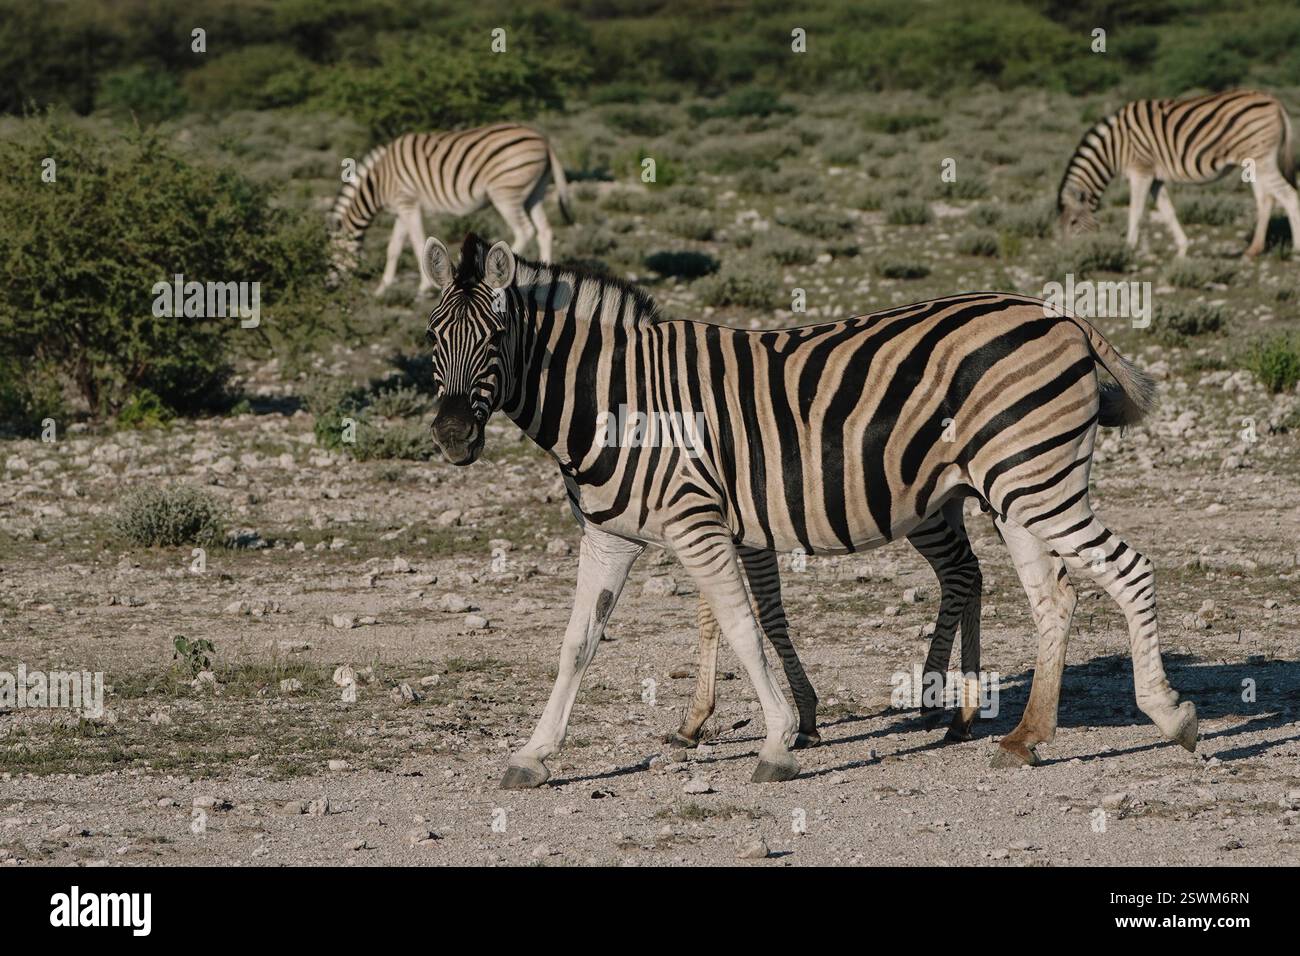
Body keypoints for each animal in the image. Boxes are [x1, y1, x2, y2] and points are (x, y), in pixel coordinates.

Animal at [328, 123, 571, 297]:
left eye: (331, 256)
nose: (329, 287)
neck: (379, 182)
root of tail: (544, 140)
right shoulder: (401, 211)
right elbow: (394, 248)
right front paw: (382, 288)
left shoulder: (408, 204)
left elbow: (418, 244)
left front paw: (423, 287)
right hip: (534, 194)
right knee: (545, 231)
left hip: (505, 194)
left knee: (524, 231)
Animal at [670, 501, 984, 751]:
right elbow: (713, 613)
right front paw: (695, 719)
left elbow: (759, 609)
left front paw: (806, 717)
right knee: (972, 569)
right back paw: (964, 713)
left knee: (959, 568)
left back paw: (937, 701)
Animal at [1058, 89, 1298, 258]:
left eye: (1073, 223)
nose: (1070, 256)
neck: (1114, 147)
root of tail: (1274, 101)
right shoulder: (1156, 179)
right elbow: (1168, 212)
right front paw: (1183, 249)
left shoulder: (1141, 171)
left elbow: (1135, 211)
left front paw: (1128, 249)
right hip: (1253, 163)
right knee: (1266, 199)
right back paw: (1253, 250)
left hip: (1262, 159)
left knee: (1289, 196)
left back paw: (1295, 249)